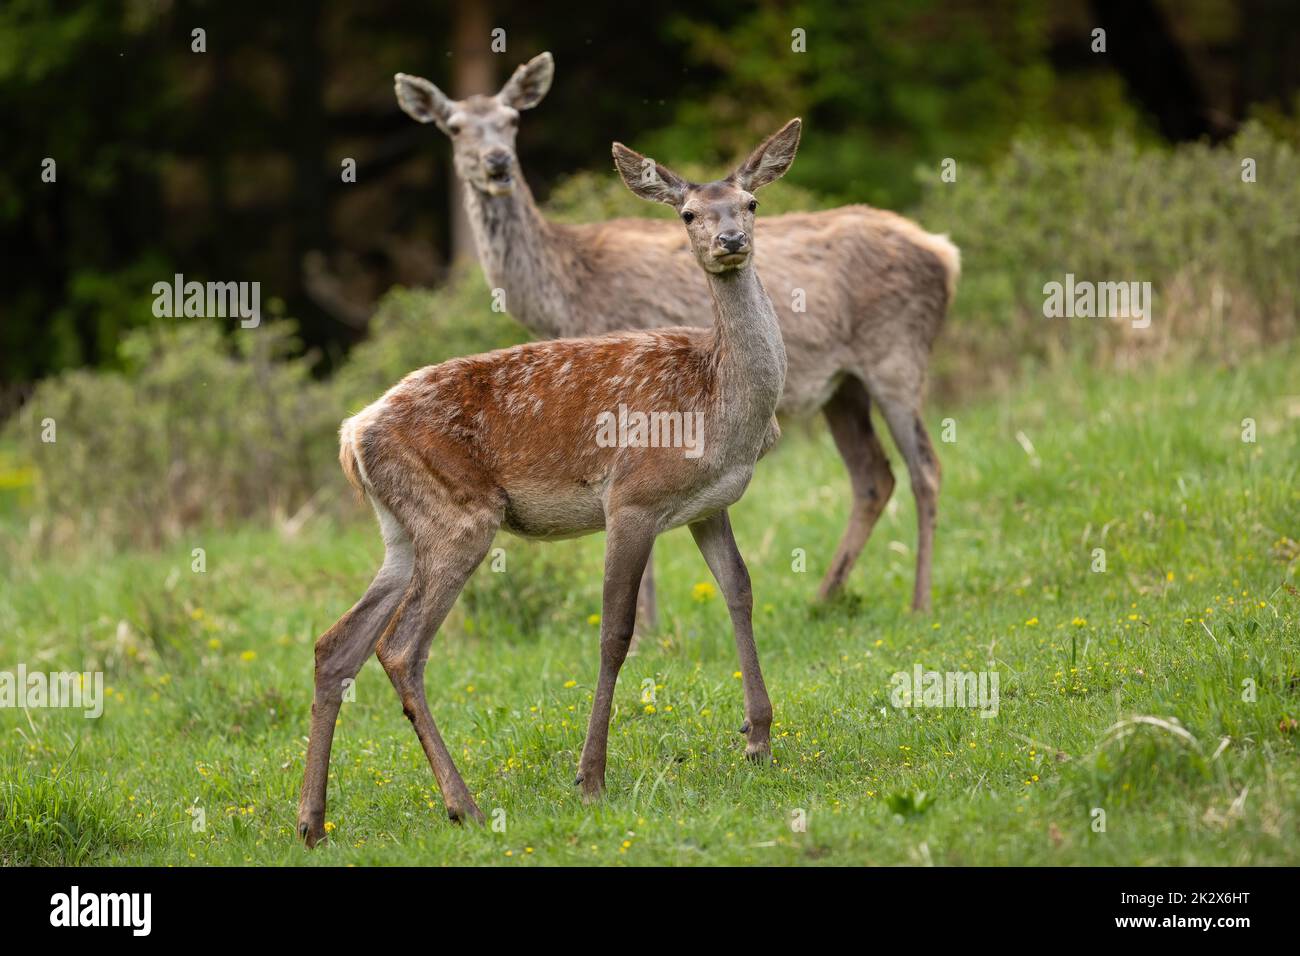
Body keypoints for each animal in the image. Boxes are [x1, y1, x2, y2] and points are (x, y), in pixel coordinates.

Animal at [295, 120, 802, 847]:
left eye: (752, 204)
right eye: (687, 214)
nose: (730, 241)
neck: (719, 403)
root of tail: (352, 433)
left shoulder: (709, 504)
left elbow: (739, 589)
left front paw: (758, 740)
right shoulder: (632, 498)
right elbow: (616, 631)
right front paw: (590, 778)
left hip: (401, 531)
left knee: (336, 645)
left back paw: (313, 821)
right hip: (459, 516)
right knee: (400, 647)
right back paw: (464, 805)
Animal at [394, 53, 959, 625]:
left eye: (512, 120)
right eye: (454, 126)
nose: (496, 164)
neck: (565, 294)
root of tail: (945, 252)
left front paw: (650, 631)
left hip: (896, 355)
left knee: (926, 468)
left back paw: (920, 602)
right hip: (843, 385)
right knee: (873, 476)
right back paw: (823, 598)